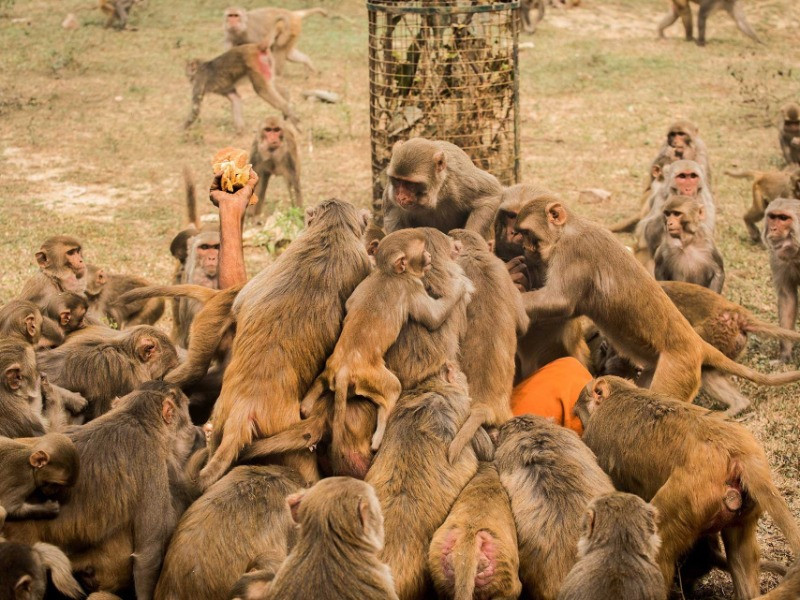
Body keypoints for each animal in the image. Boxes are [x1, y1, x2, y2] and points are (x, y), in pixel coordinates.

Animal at [199, 199, 372, 490]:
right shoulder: (363, 264)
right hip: (283, 432)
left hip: (221, 416)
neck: (329, 232)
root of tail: (246, 408)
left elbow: (241, 302)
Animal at [300, 228, 471, 455]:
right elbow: (433, 319)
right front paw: (458, 287)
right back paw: (379, 435)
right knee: (393, 389)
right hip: (373, 377)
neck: (388, 273)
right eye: (422, 251)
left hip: (331, 367)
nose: (429, 257)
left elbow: (349, 304)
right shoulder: (412, 286)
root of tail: (345, 367)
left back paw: (307, 404)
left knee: (321, 379)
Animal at [513, 188, 800, 402]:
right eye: (520, 234)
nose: (524, 248)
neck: (567, 230)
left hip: (678, 368)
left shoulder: (573, 253)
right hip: (659, 366)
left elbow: (559, 301)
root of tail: (697, 344)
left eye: (528, 234)